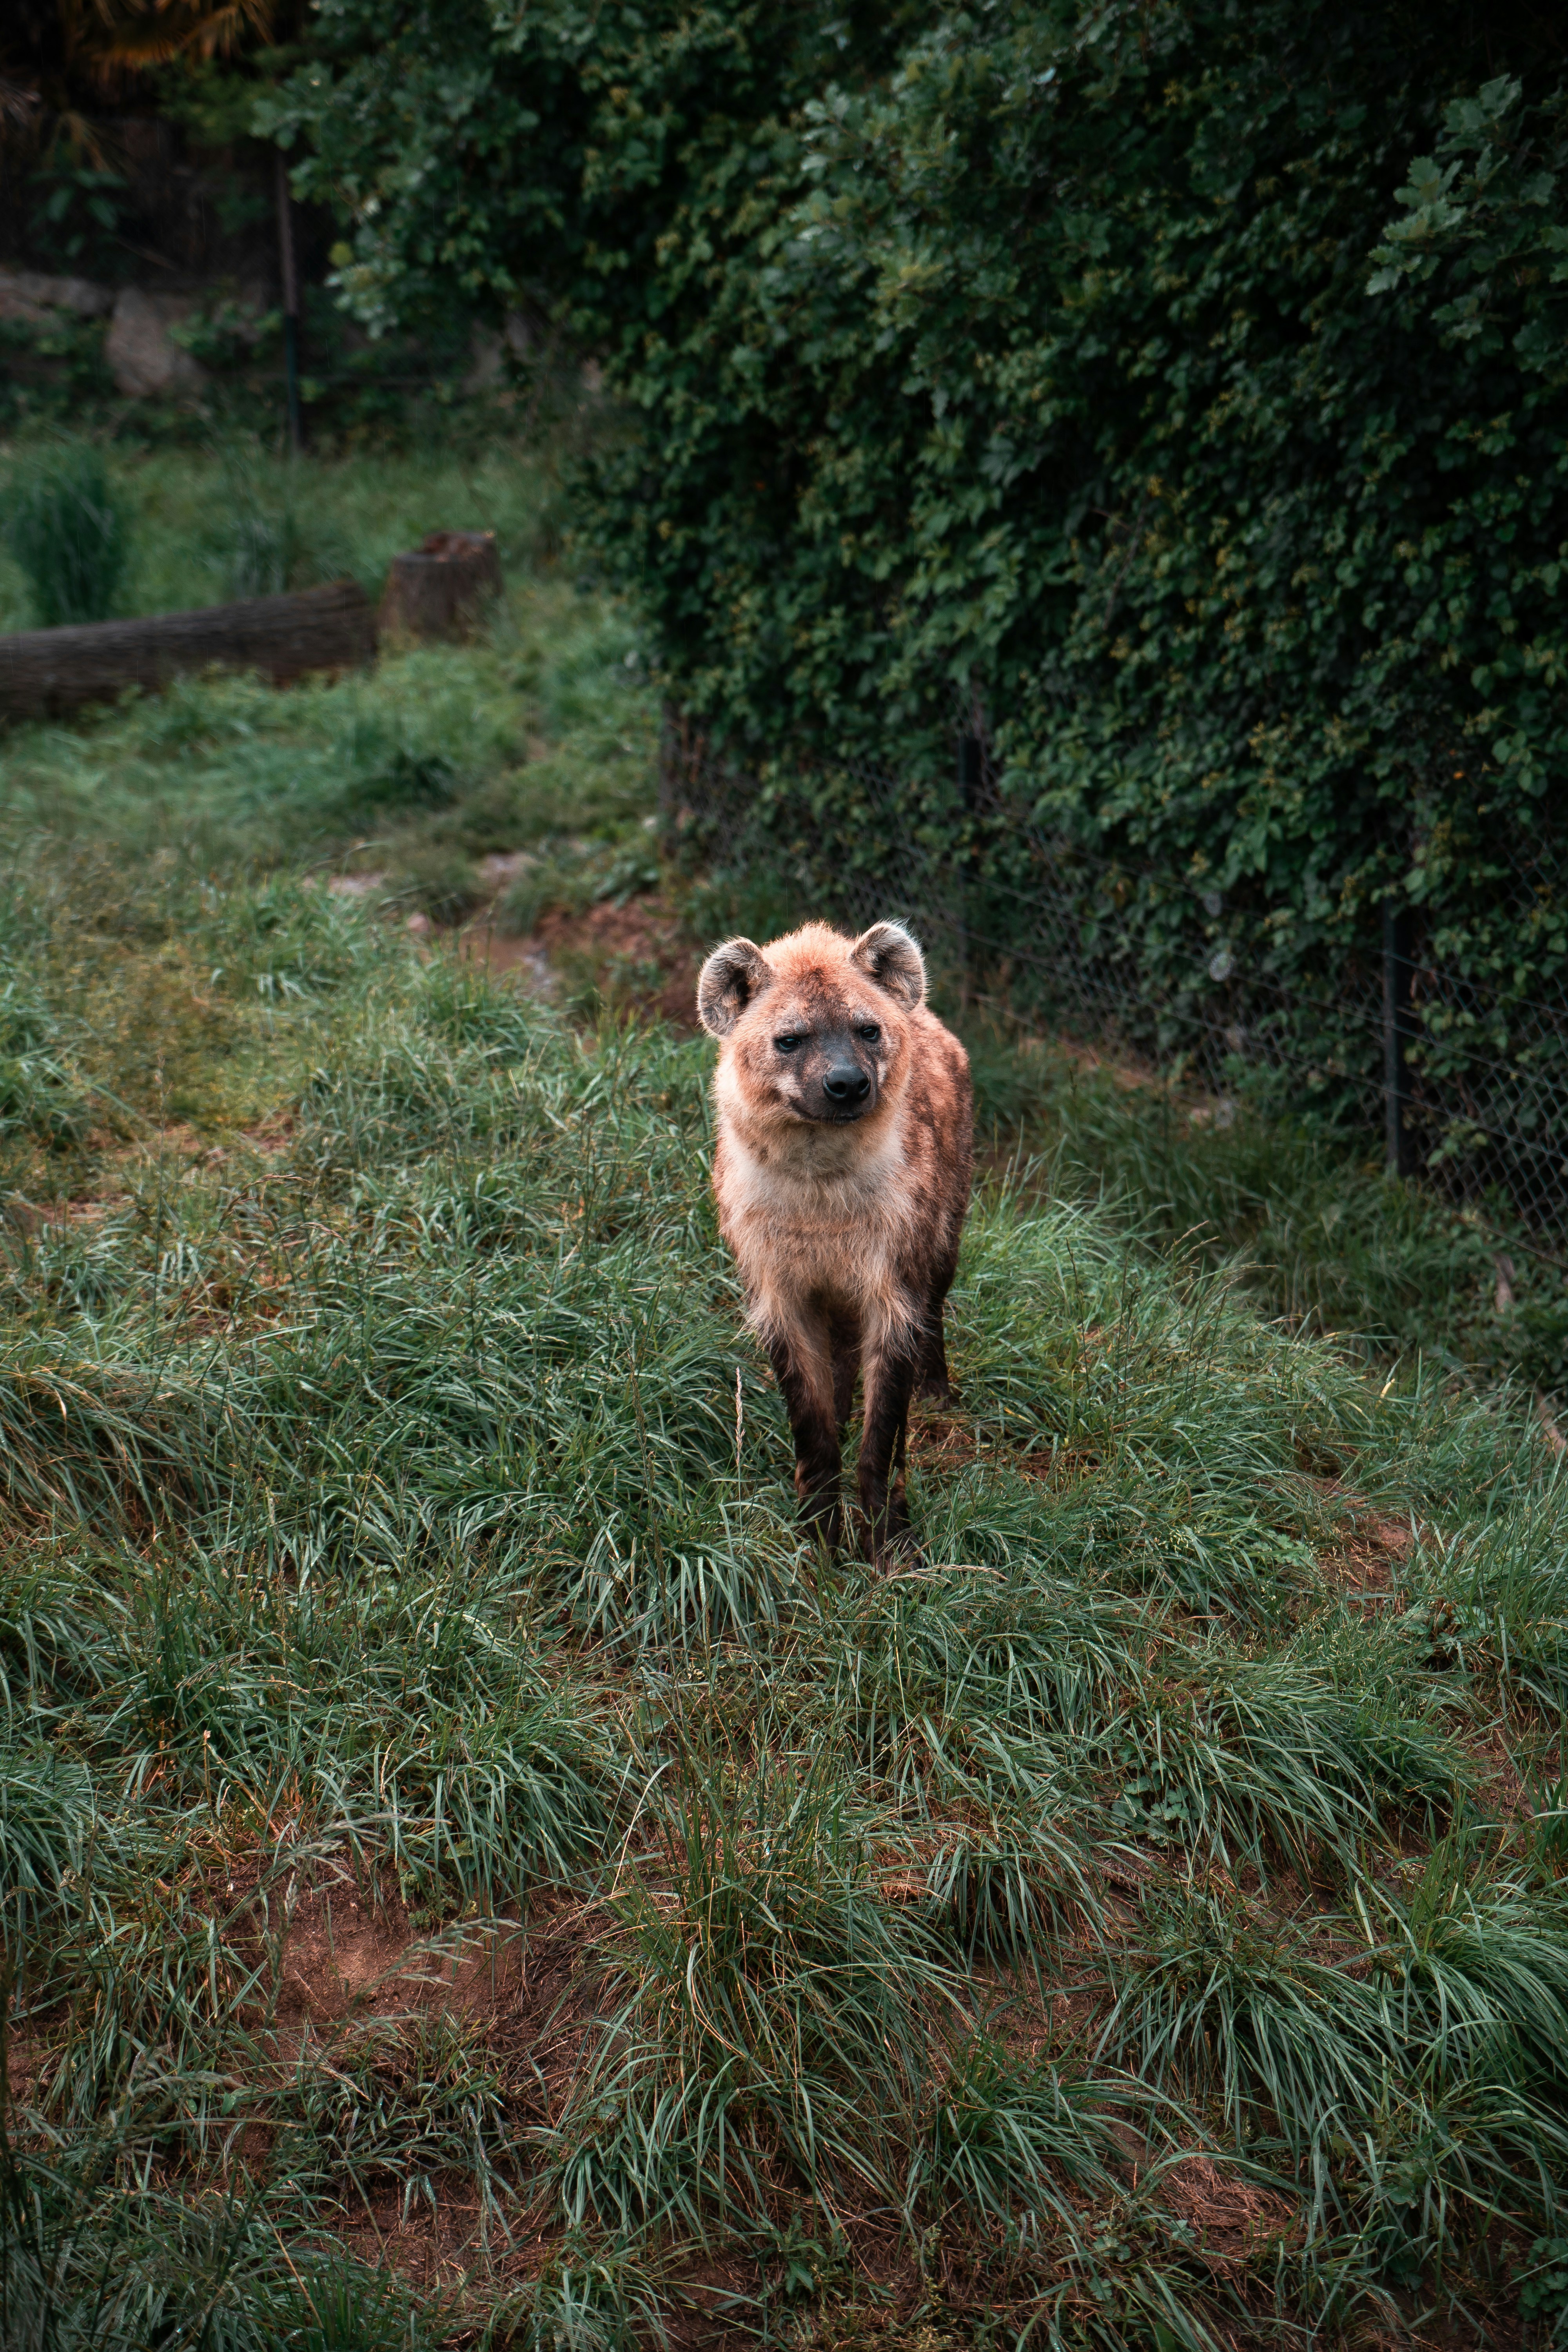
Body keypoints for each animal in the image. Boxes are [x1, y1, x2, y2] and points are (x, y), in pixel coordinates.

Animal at [697, 918, 973, 1559]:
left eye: (868, 1030)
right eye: (789, 1040)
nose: (848, 1083)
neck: (819, 1191)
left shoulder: (893, 1281)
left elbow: (885, 1428)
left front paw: (887, 1546)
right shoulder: (779, 1289)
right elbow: (810, 1417)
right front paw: (816, 1540)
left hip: (948, 1218)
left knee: (937, 1298)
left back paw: (935, 1391)